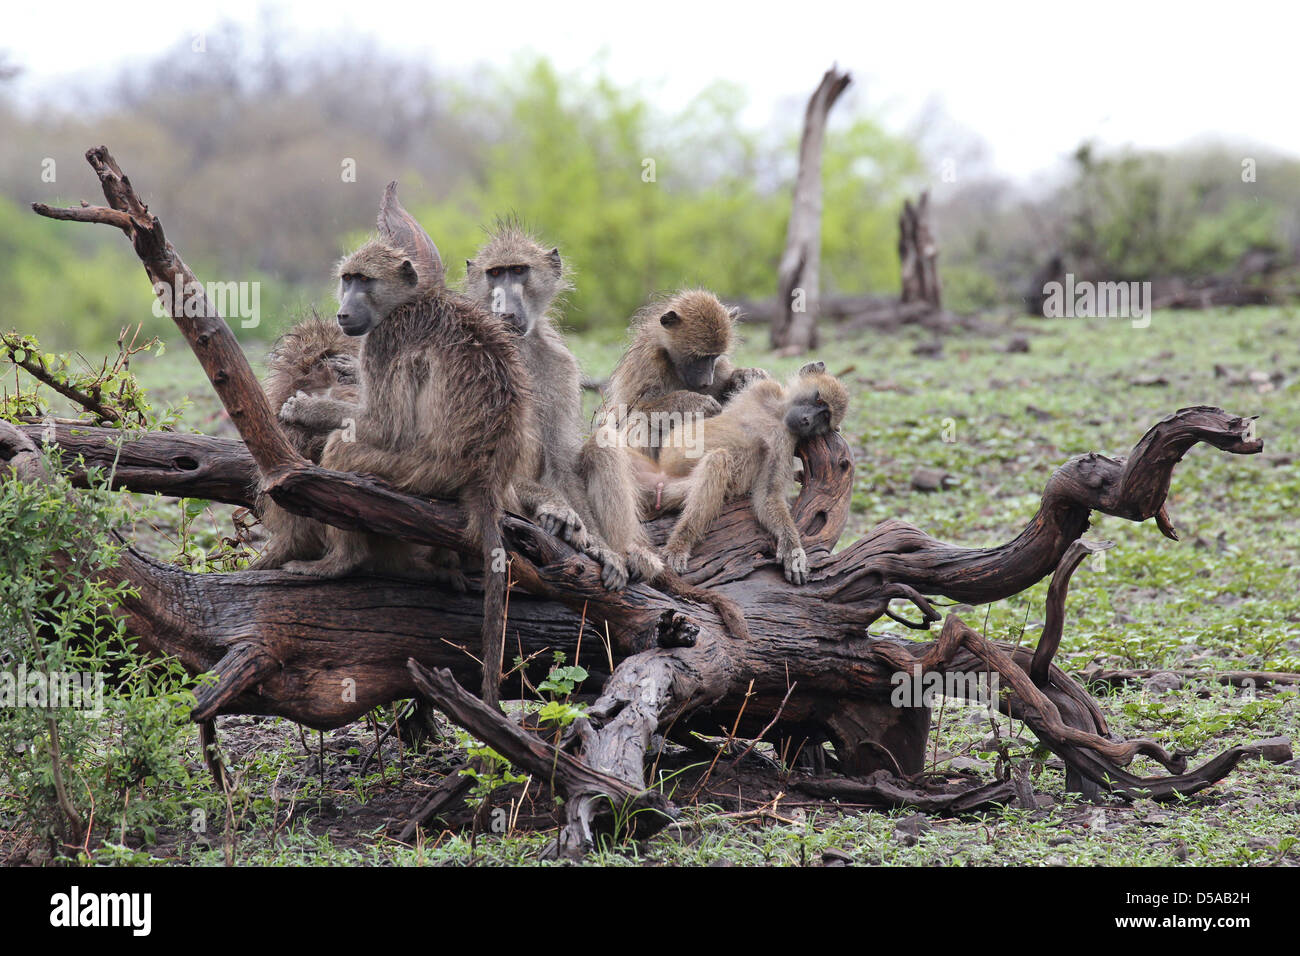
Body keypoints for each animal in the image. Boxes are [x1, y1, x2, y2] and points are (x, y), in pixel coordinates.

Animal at [266, 183, 536, 708]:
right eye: (346, 280)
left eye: (363, 281)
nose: (343, 311)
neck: (406, 302)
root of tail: (487, 475)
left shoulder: (385, 341)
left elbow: (385, 425)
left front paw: (306, 409)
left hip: (420, 471)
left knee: (341, 453)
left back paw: (338, 564)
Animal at [463, 220, 663, 589]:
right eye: (495, 273)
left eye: (518, 270)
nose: (506, 309)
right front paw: (555, 508)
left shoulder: (560, 364)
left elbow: (562, 460)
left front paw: (603, 548)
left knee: (602, 446)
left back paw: (634, 555)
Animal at [603, 289, 769, 459]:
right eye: (698, 356)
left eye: (714, 356)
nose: (706, 382)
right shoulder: (647, 363)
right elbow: (633, 410)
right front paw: (696, 402)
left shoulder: (719, 367)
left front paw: (746, 375)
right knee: (643, 422)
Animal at [636, 362, 849, 585]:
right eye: (818, 399)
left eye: (825, 417)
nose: (807, 420)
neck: (777, 414)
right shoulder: (761, 391)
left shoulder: (784, 440)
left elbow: (767, 496)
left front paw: (792, 549)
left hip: (671, 490)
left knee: (717, 460)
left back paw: (680, 543)